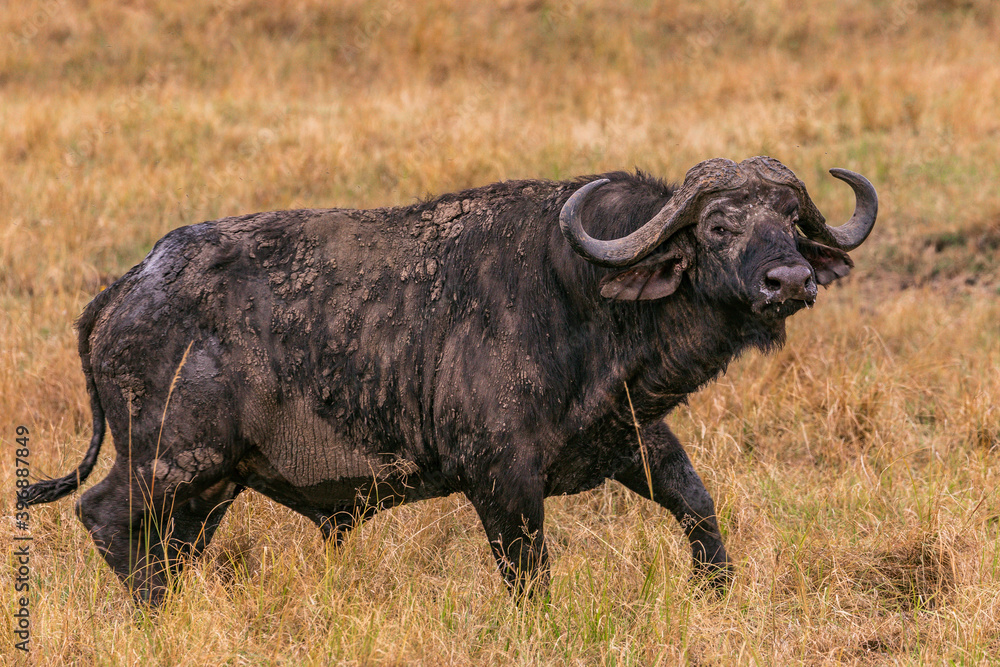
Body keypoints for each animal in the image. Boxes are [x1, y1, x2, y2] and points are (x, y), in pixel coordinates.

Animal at [24, 156, 877, 604]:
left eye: (789, 219)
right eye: (719, 225)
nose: (790, 278)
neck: (581, 295)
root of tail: (128, 286)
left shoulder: (634, 436)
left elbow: (698, 506)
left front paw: (715, 592)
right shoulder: (501, 478)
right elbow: (529, 573)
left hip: (212, 486)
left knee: (169, 543)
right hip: (171, 456)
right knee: (105, 515)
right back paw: (150, 610)